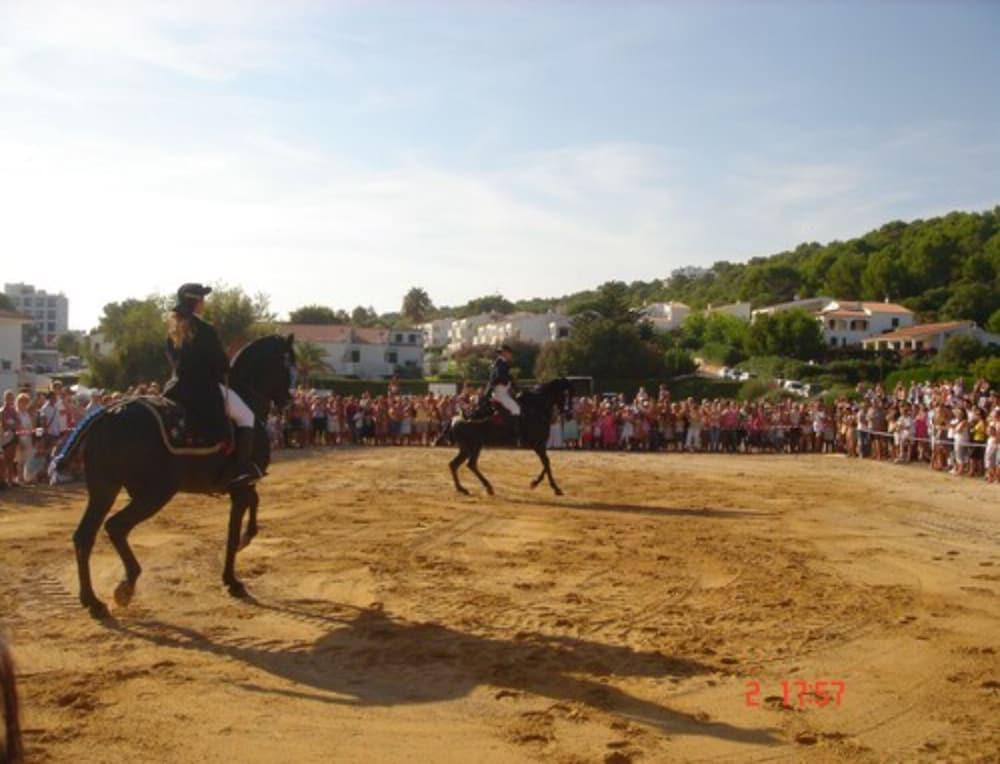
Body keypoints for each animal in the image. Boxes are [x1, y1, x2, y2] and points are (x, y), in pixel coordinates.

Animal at [56, 336, 294, 620]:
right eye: (288, 362)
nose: (288, 401)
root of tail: (110, 413)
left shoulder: (241, 484)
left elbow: (253, 505)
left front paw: (243, 547)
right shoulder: (241, 484)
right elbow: (235, 530)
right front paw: (233, 578)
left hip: (104, 490)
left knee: (85, 536)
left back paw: (92, 601)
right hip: (156, 493)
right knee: (115, 527)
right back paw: (126, 585)